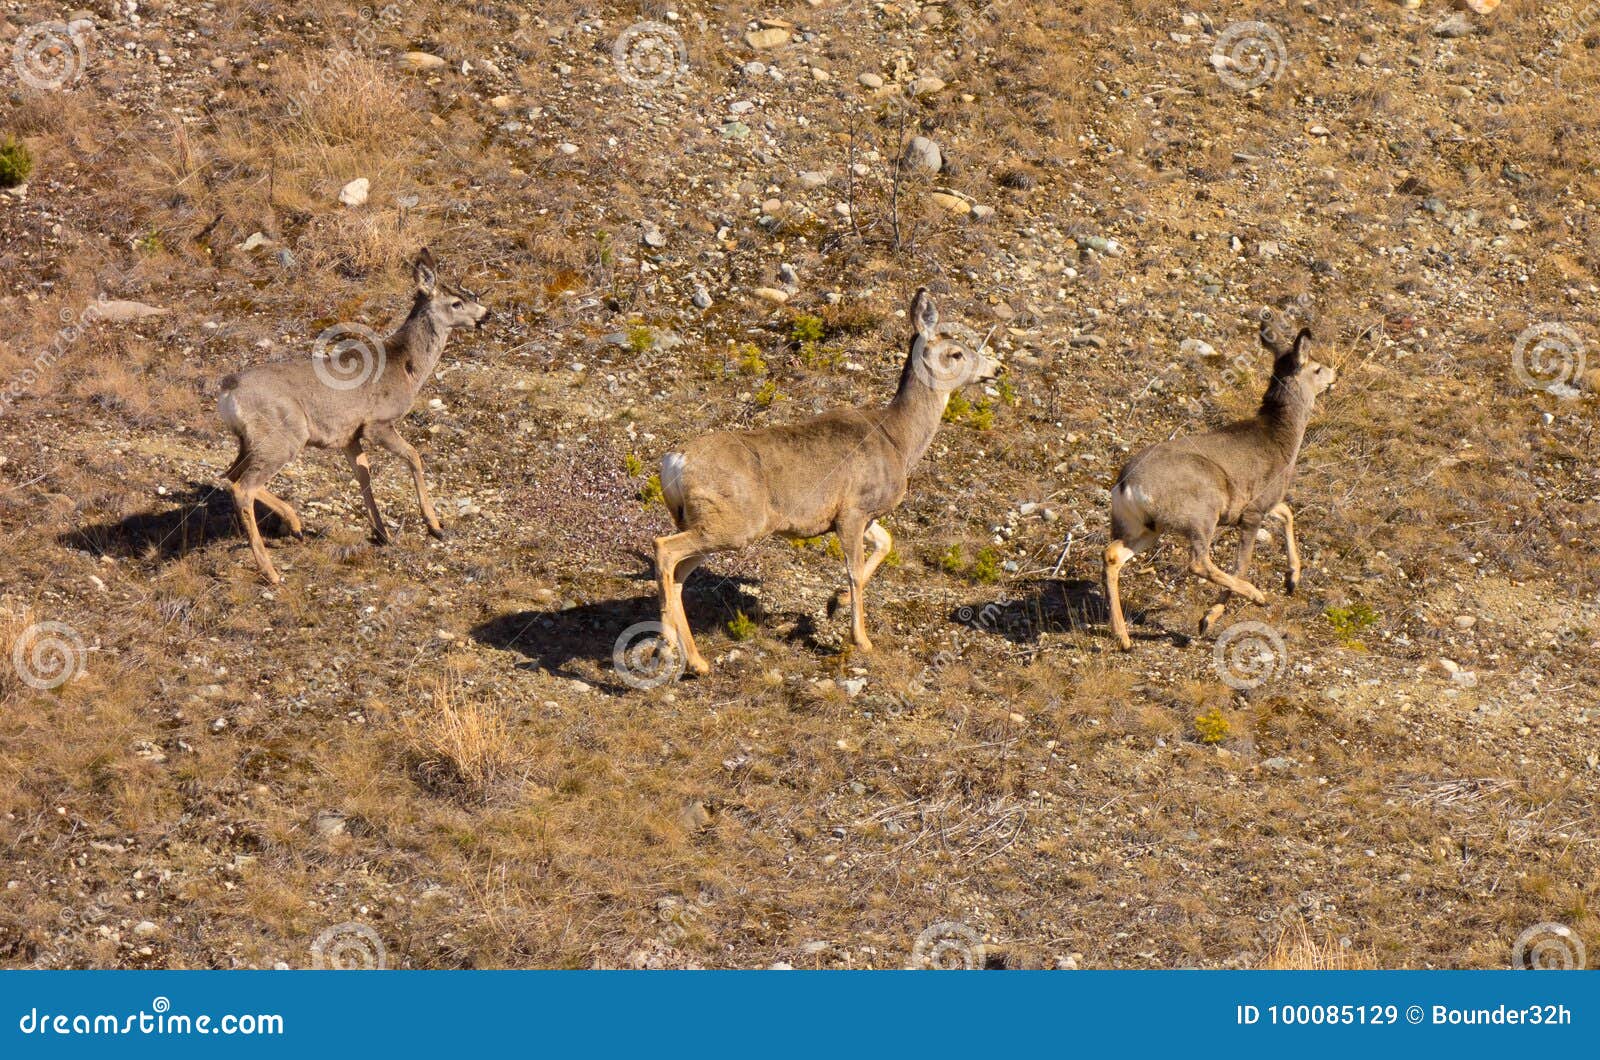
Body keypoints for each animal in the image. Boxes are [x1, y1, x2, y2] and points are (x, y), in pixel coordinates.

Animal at [216, 249, 489, 584]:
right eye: (456, 303)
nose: (486, 314)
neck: (405, 366)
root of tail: (229, 390)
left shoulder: (349, 436)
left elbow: (363, 474)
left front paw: (382, 533)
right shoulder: (377, 424)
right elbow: (414, 456)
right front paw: (434, 525)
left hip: (249, 442)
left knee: (230, 476)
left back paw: (295, 526)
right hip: (281, 438)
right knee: (243, 488)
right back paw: (272, 571)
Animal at [653, 288, 999, 677]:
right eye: (956, 352)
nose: (996, 369)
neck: (898, 440)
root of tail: (675, 462)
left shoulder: (864, 516)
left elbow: (886, 544)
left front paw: (836, 602)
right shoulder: (852, 509)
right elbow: (855, 570)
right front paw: (860, 638)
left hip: (701, 522)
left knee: (678, 574)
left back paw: (687, 658)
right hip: (733, 523)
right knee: (664, 549)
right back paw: (676, 650)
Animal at [1102, 316, 1336, 650]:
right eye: (1315, 368)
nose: (1334, 374)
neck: (1281, 441)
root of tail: (1126, 485)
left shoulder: (1262, 503)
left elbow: (1287, 513)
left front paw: (1292, 579)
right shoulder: (1252, 511)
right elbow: (1243, 562)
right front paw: (1209, 617)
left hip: (1145, 526)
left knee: (1112, 555)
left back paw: (1123, 637)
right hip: (1202, 510)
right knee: (1198, 562)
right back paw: (1255, 595)